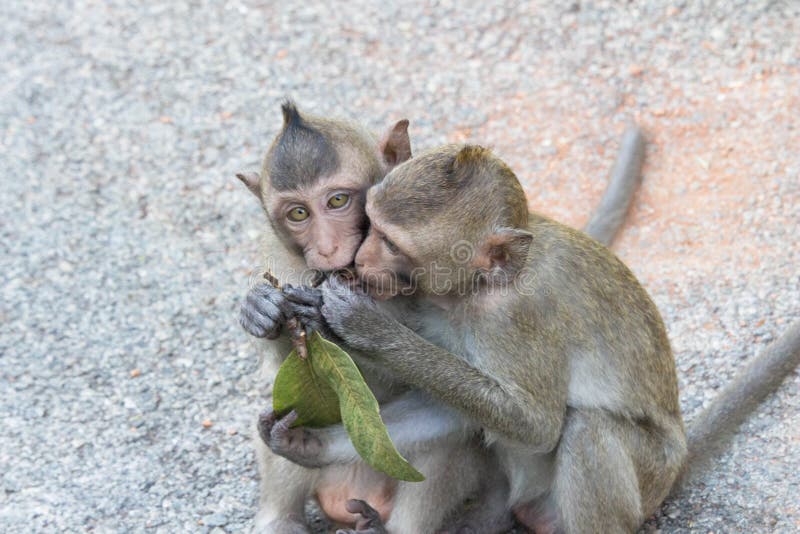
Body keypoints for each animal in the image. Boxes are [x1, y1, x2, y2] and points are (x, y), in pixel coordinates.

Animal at [237, 102, 649, 533]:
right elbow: (288, 371)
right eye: (298, 213)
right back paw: (281, 518)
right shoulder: (282, 260)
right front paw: (261, 309)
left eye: (337, 202)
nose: (329, 248)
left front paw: (365, 329)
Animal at [263, 143, 800, 533]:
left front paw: (366, 327)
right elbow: (449, 412)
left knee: (587, 429)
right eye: (370, 225)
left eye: (392, 244)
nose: (360, 261)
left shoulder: (517, 318)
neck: (475, 291)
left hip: (646, 484)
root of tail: (677, 465)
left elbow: (536, 424)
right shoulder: (434, 313)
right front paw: (312, 443)